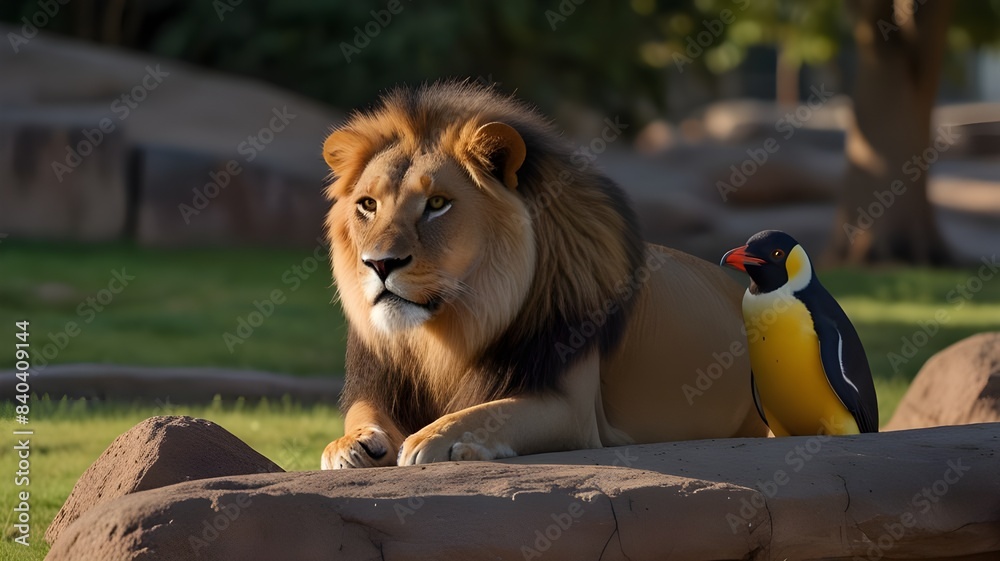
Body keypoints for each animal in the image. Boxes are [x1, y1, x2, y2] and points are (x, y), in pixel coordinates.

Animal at [320, 81, 767, 469]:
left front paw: (433, 437)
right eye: (368, 204)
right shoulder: (377, 383)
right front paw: (348, 444)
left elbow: (488, 413)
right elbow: (362, 412)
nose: (379, 264)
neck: (449, 333)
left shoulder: (573, 411)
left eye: (437, 204)